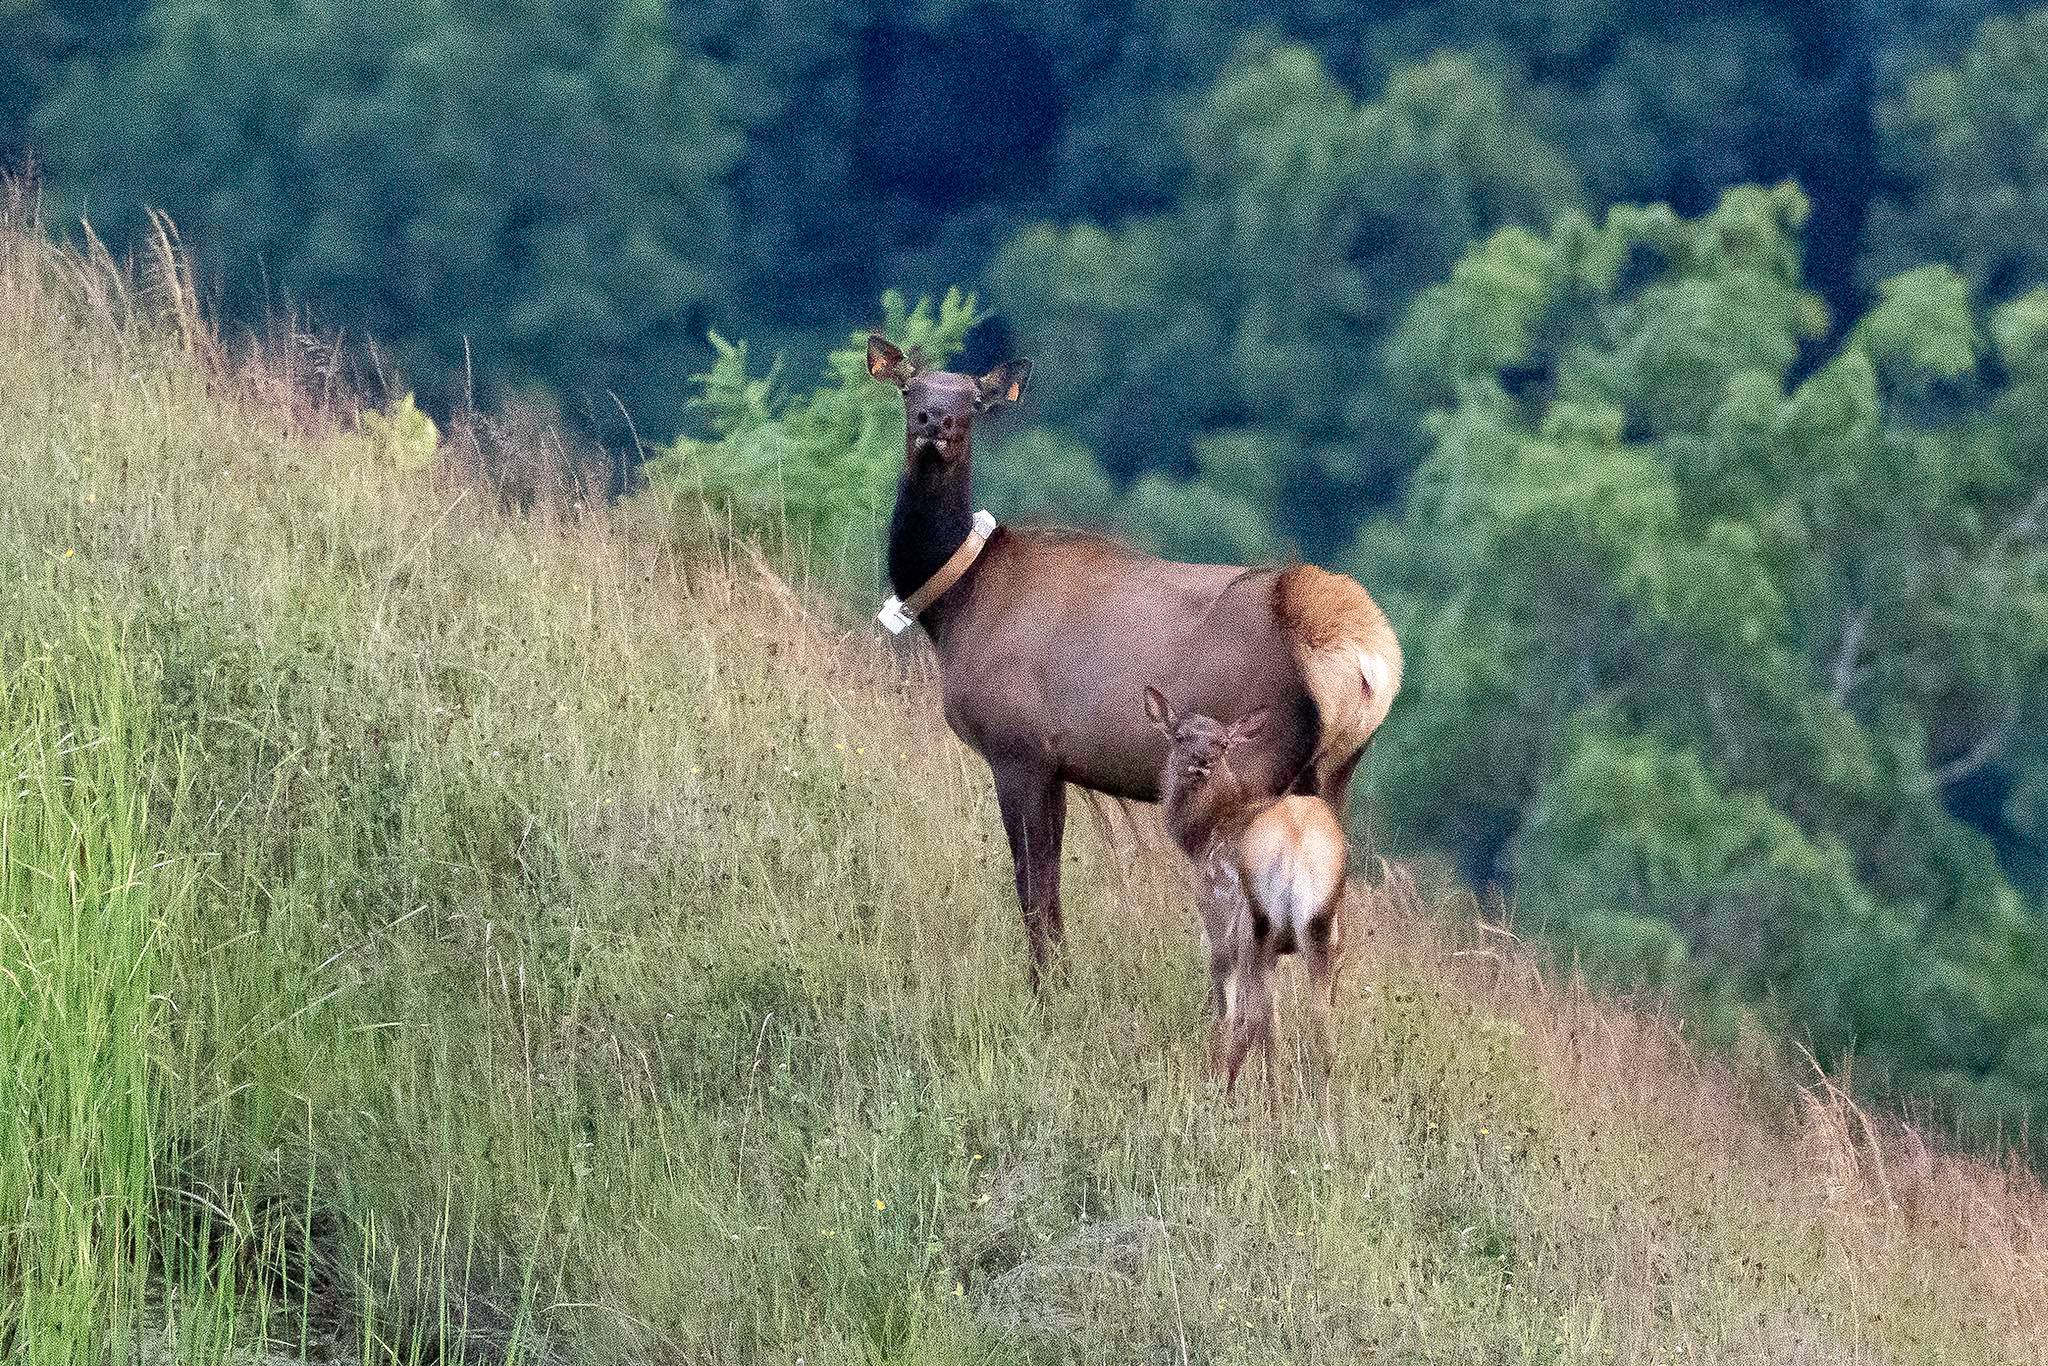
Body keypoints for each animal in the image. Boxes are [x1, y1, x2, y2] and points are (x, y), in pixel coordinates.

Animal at [867, 334, 1400, 989]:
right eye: (911, 388)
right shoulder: (1057, 764)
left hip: (1255, 768)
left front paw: (1047, 991)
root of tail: (1368, 659)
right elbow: (1049, 886)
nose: (933, 423)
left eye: (973, 401)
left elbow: (1033, 888)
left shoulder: (1017, 747)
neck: (952, 602)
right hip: (1332, 779)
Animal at [1145, 688, 1348, 1094]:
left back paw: (1226, 1090)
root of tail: (1297, 846)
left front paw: (1211, 1073)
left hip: (1251, 926)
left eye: (1222, 744)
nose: (1203, 761)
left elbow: (1226, 1006)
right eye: (1180, 737)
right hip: (1324, 931)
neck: (1201, 833)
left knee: (1254, 1015)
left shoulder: (1214, 911)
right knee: (1317, 1022)